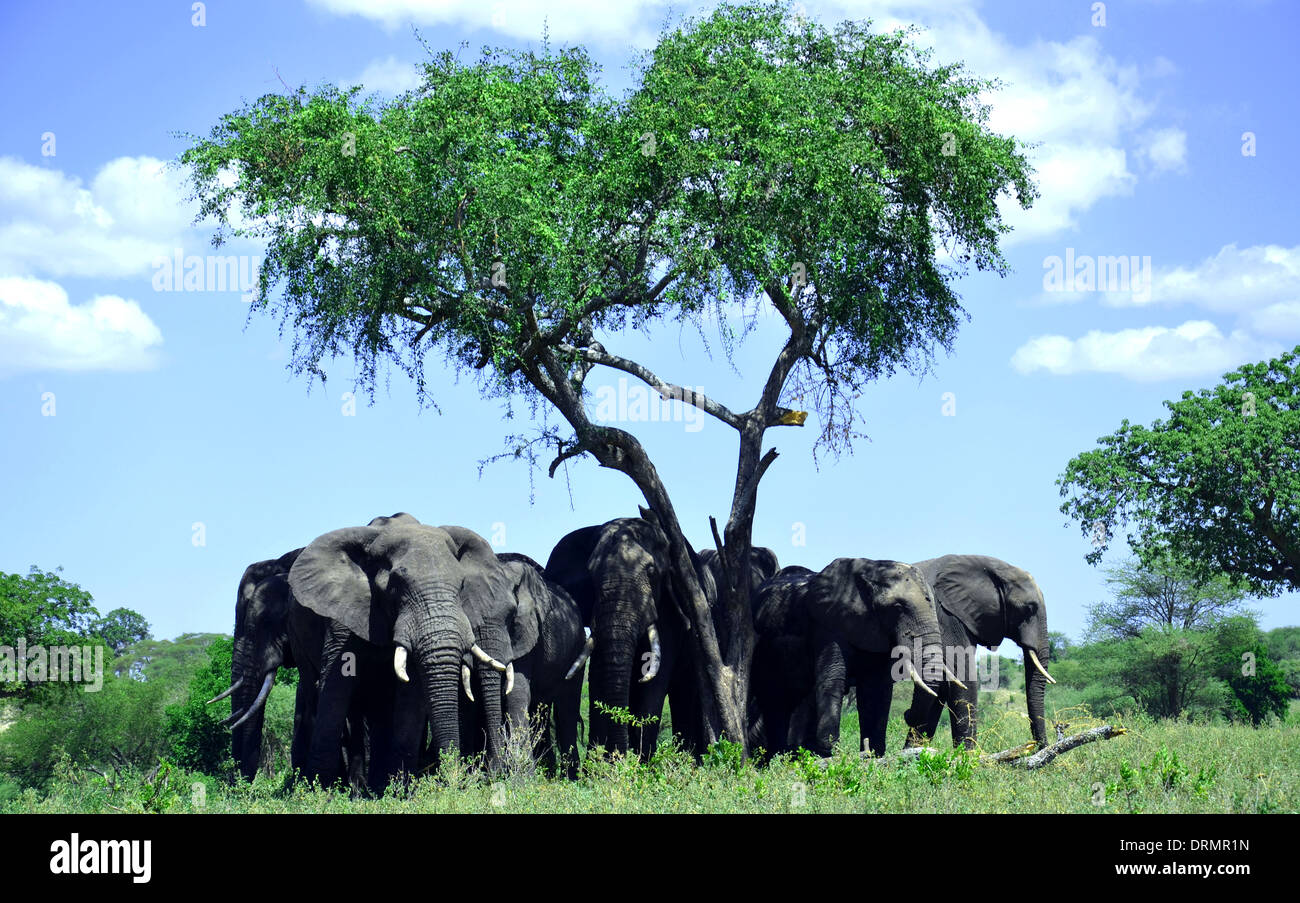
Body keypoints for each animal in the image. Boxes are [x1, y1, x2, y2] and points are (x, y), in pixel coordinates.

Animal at [545, 508, 716, 759]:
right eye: (591, 573)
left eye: (652, 572)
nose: (620, 755)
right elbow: (599, 673)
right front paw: (601, 764)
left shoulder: (669, 608)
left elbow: (655, 677)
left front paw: (640, 762)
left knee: (684, 691)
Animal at [749, 559, 954, 757]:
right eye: (897, 608)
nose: (906, 713)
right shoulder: (828, 624)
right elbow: (832, 679)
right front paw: (831, 753)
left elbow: (876, 689)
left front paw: (873, 753)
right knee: (775, 701)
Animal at [903, 555, 1056, 750]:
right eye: (1029, 608)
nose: (1037, 747)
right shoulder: (948, 617)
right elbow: (963, 676)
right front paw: (967, 755)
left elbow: (943, 685)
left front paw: (915, 753)